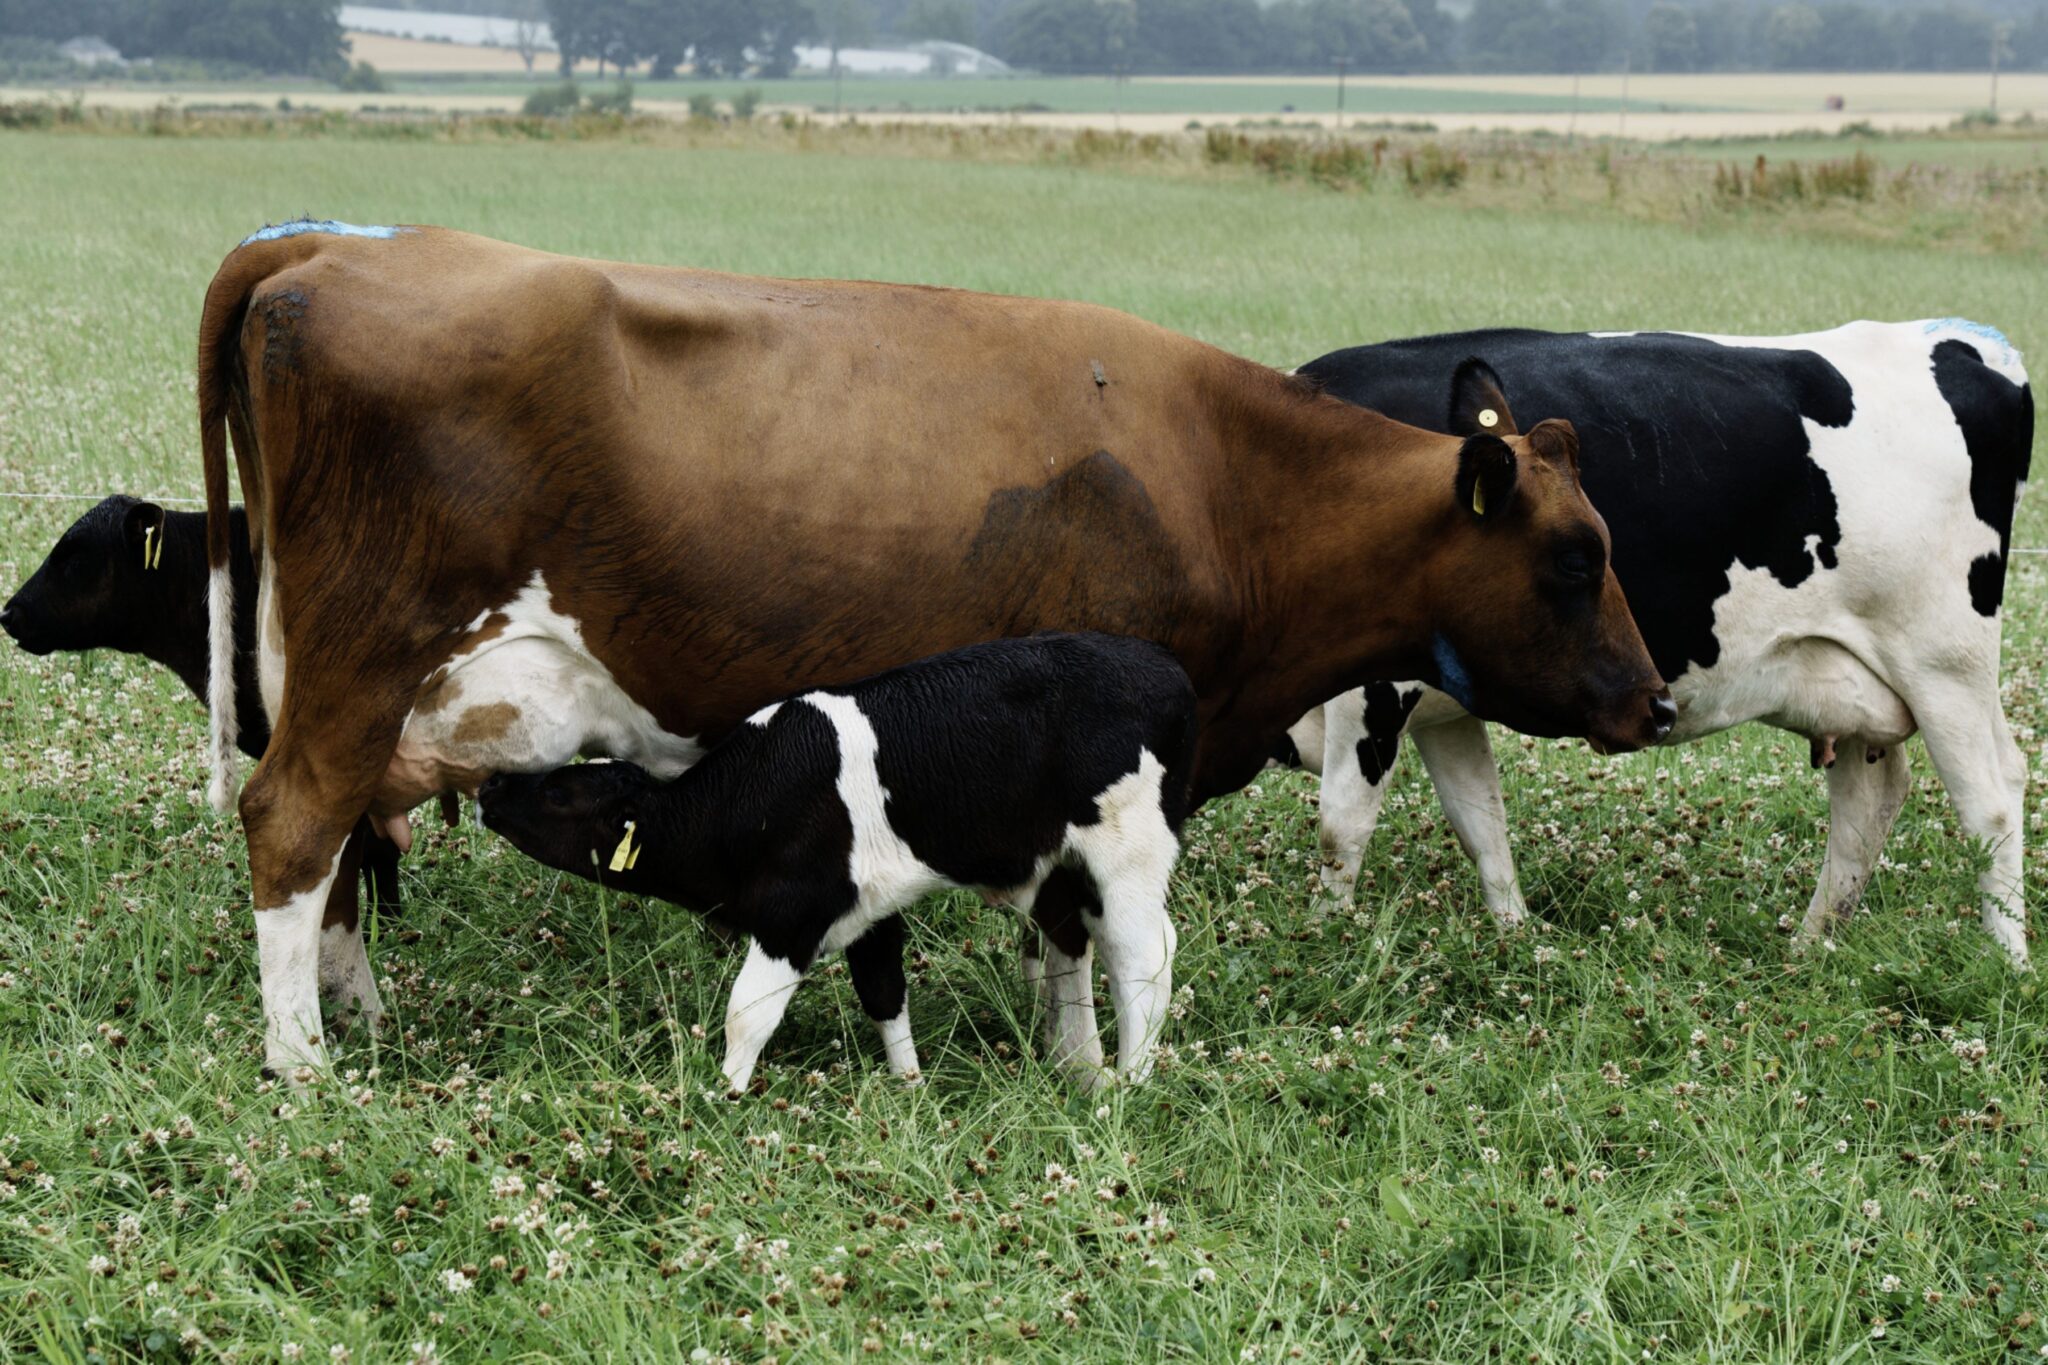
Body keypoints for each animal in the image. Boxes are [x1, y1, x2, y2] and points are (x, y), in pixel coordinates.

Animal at [479, 632, 1196, 1091]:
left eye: (559, 793)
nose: (489, 786)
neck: (743, 805)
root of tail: (1166, 669)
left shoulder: (792, 913)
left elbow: (747, 1014)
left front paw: (723, 1099)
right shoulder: (868, 909)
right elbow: (883, 993)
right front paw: (909, 1086)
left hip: (1129, 852)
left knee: (1144, 955)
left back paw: (1129, 1082)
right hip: (1068, 867)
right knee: (1076, 940)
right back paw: (1086, 1072)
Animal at [1286, 322, 2033, 961]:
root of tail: (1962, 340)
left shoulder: (1372, 691)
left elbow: (1341, 828)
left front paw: (1325, 944)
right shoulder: (1447, 702)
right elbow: (1480, 822)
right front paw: (1519, 943)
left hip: (1944, 663)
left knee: (1991, 798)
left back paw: (2008, 960)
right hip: (1858, 680)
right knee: (1871, 795)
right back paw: (1809, 946)